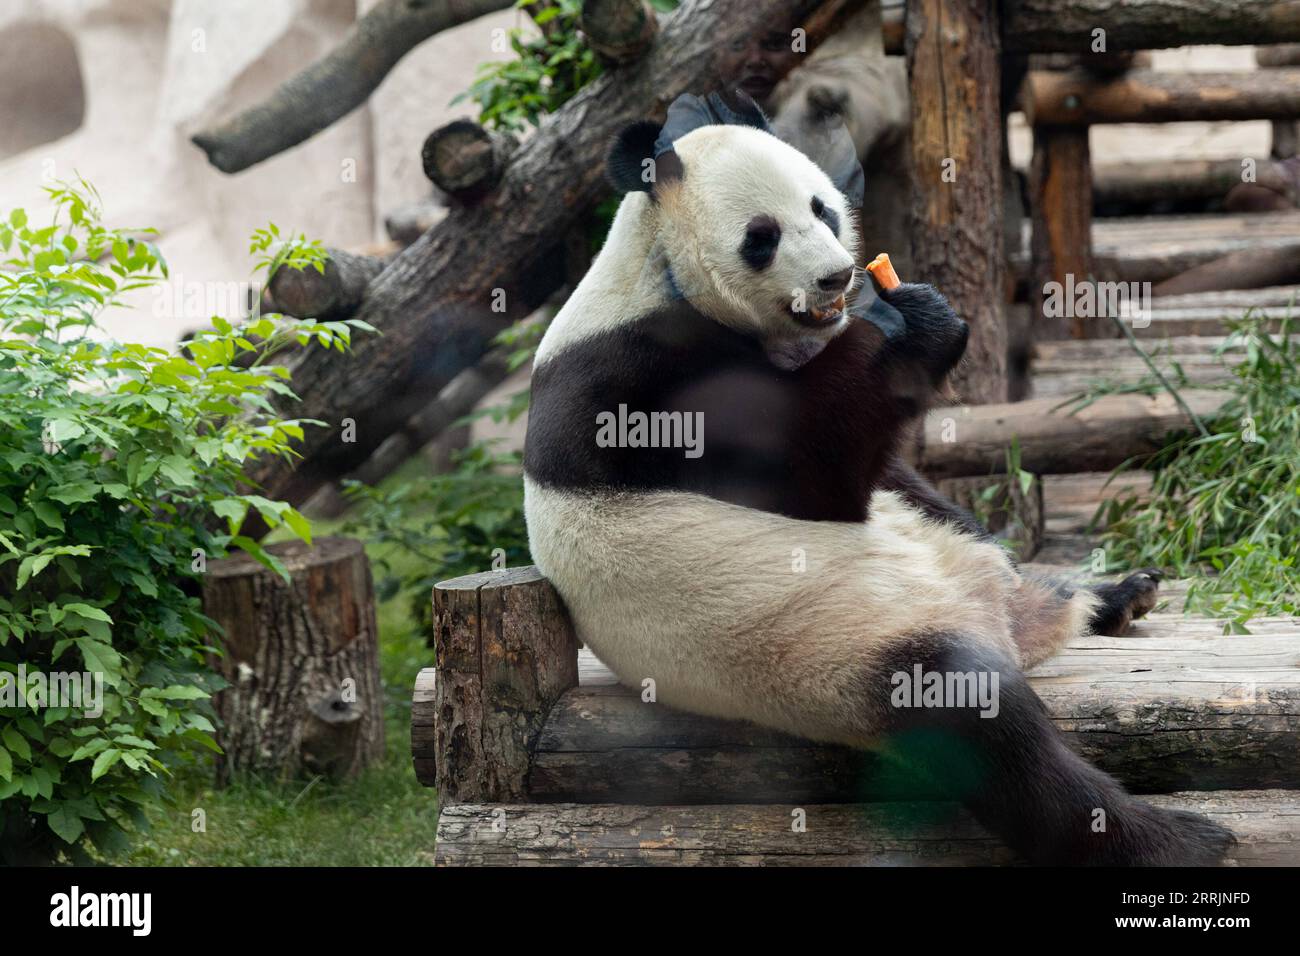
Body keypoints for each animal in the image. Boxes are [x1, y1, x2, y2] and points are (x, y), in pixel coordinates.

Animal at [521, 97, 1235, 866]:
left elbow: (884, 465)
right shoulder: (640, 385)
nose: (837, 279)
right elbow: (808, 478)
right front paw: (912, 324)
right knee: (980, 729)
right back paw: (1169, 837)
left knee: (988, 563)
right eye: (761, 237)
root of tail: (999, 624)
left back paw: (1112, 596)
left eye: (823, 209)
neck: (659, 270)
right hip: (837, 648)